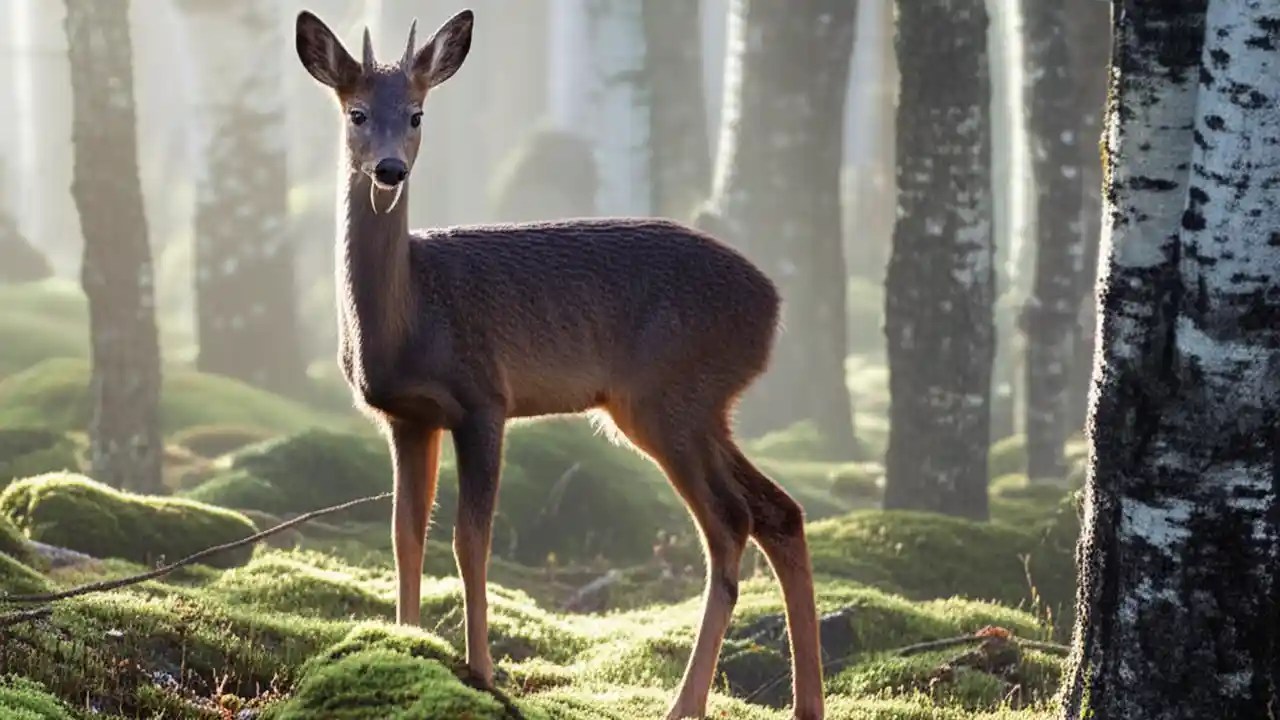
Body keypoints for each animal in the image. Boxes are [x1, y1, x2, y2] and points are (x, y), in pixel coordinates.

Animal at [294, 9, 824, 720]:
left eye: (415, 114)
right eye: (356, 113)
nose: (389, 170)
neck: (410, 317)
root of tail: (773, 308)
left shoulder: (484, 398)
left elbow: (470, 539)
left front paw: (482, 671)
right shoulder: (406, 417)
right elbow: (405, 534)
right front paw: (408, 645)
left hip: (667, 395)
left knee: (730, 522)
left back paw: (683, 703)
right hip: (699, 407)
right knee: (780, 512)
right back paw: (805, 704)